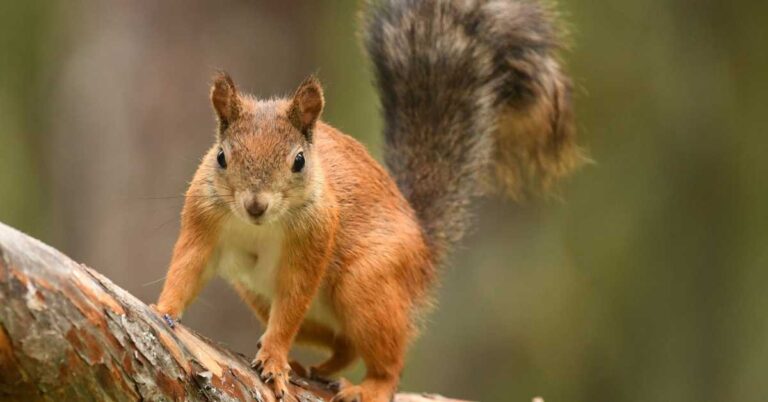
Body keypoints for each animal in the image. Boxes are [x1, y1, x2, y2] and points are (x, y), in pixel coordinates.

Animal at [155, 0, 584, 401]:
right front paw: (163, 312)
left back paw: (368, 386)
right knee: (344, 344)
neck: (260, 226)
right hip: (260, 294)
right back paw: (312, 366)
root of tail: (423, 251)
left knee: (387, 361)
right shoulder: (202, 222)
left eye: (299, 161)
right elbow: (187, 267)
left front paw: (274, 358)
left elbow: (291, 304)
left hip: (367, 287)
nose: (255, 205)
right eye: (221, 157)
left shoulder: (314, 240)